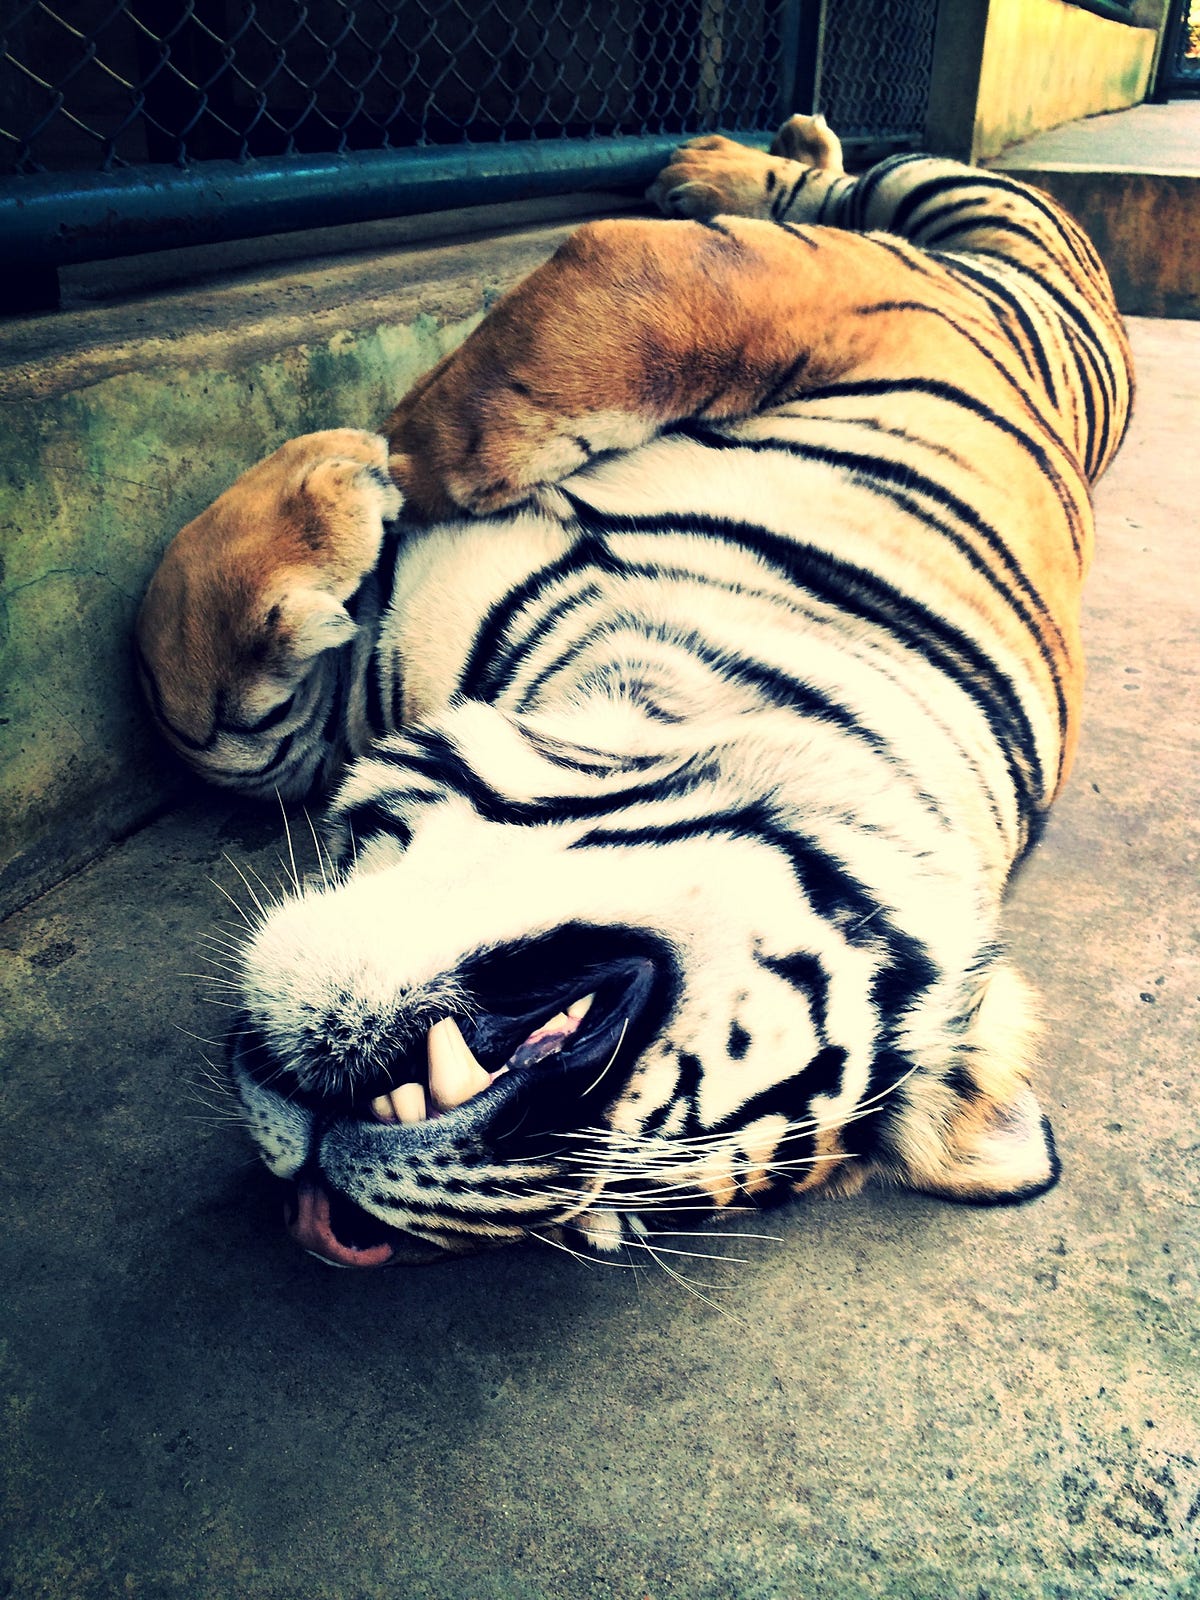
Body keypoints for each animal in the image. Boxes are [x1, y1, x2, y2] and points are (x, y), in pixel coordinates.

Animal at [136, 113, 1133, 1268]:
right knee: (835, 189)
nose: (338, 1222)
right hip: (957, 210)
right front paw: (376, 461)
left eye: (614, 1219)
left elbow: (236, 732)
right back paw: (725, 161)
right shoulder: (897, 314)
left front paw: (354, 475)